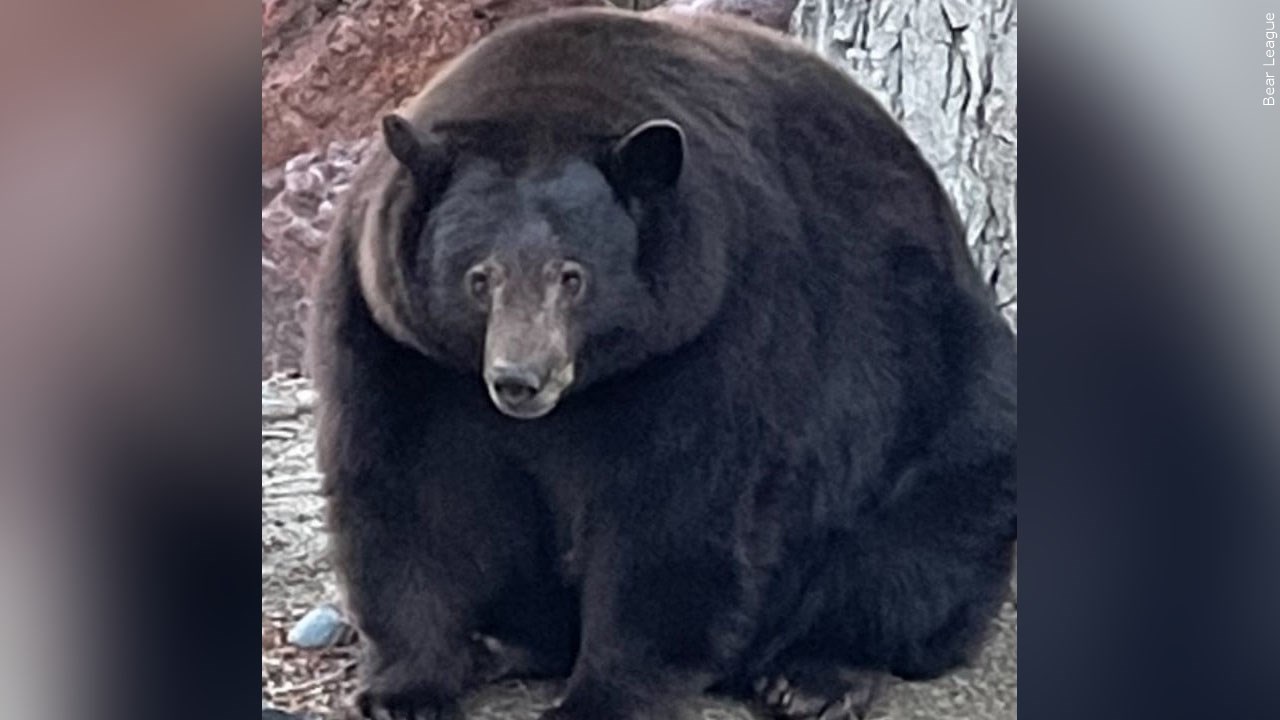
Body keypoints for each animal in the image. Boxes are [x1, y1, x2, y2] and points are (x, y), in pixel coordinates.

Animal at [307, 6, 1017, 720]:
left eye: (573, 276)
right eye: (480, 277)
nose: (519, 380)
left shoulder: (716, 322)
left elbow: (676, 508)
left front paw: (600, 698)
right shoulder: (395, 338)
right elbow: (410, 486)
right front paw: (408, 688)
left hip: (938, 393)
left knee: (920, 543)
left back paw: (814, 674)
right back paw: (501, 642)